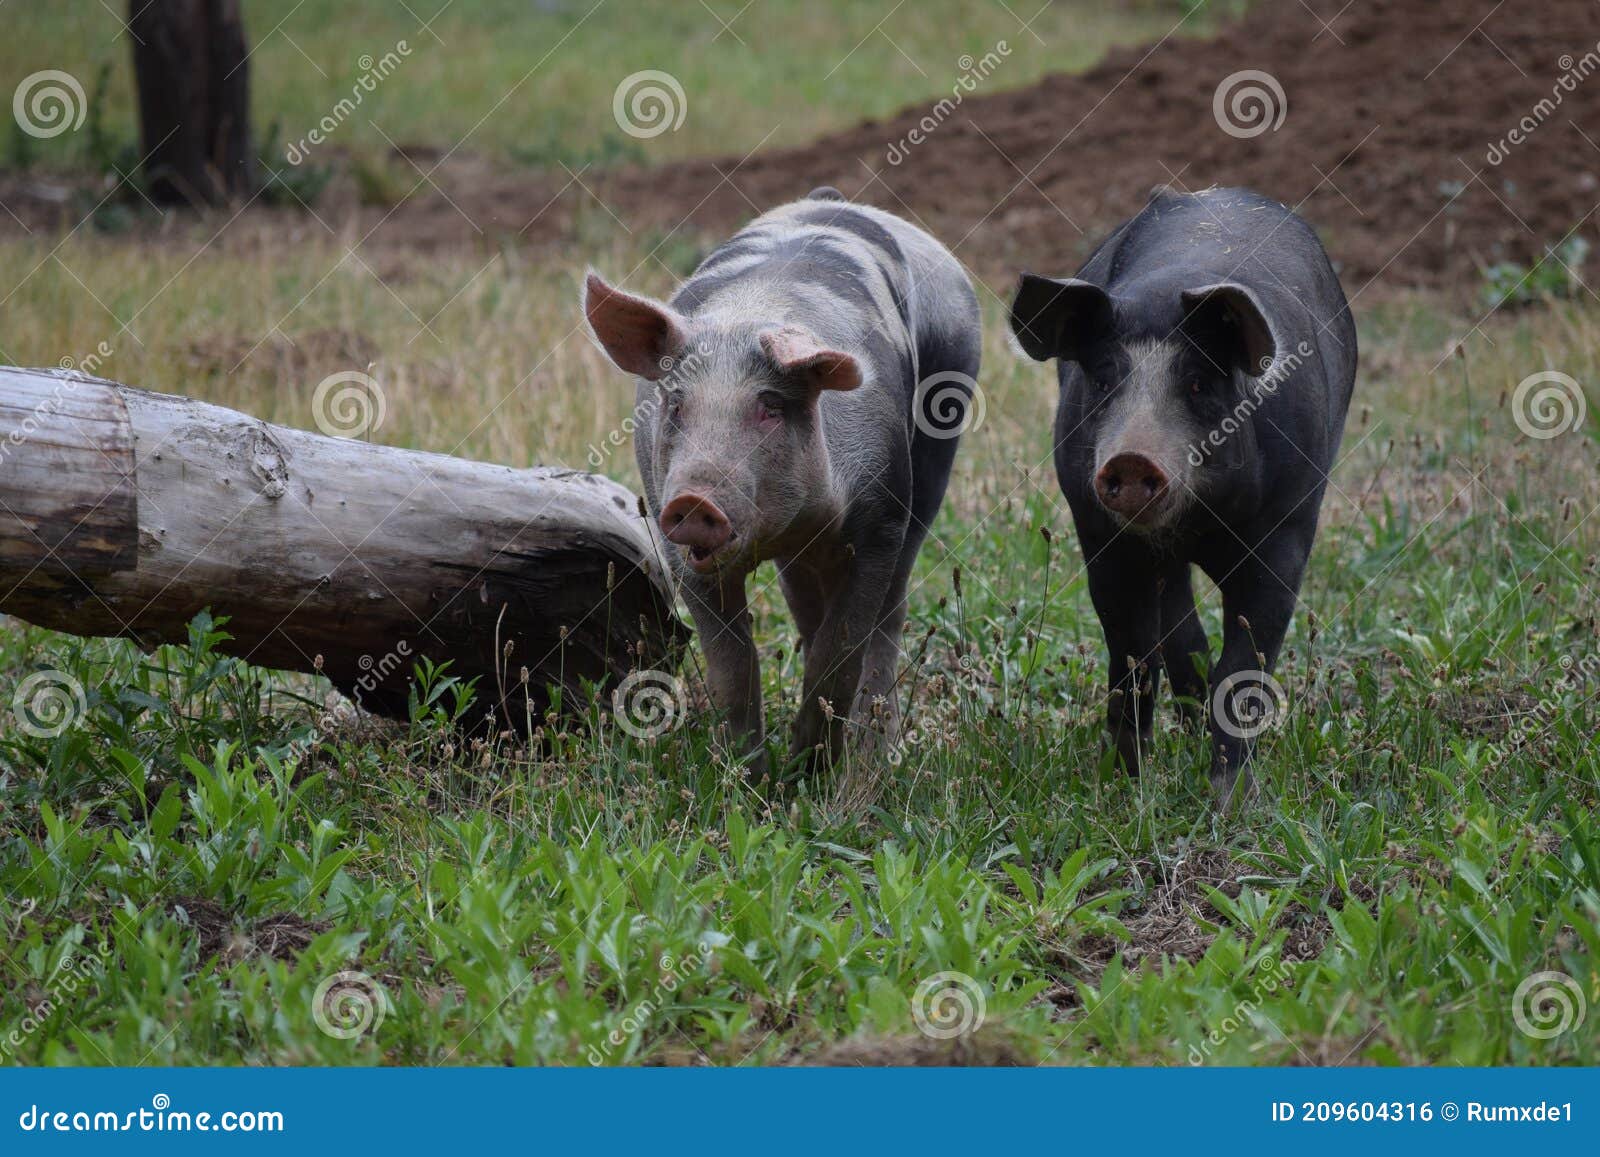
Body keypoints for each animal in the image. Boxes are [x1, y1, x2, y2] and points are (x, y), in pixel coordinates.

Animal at [585, 188, 981, 776]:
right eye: (676, 403)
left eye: (769, 406)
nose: (693, 500)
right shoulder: (678, 544)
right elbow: (732, 666)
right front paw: (746, 775)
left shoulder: (880, 520)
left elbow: (839, 655)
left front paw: (810, 774)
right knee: (807, 611)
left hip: (939, 438)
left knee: (891, 614)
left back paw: (875, 756)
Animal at [1009, 186, 1357, 800]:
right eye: (1104, 379)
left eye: (1196, 382)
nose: (1131, 457)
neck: (1195, 524)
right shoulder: (1098, 532)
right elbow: (1130, 655)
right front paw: (1123, 786)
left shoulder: (1287, 527)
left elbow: (1245, 664)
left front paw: (1230, 803)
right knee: (1181, 633)